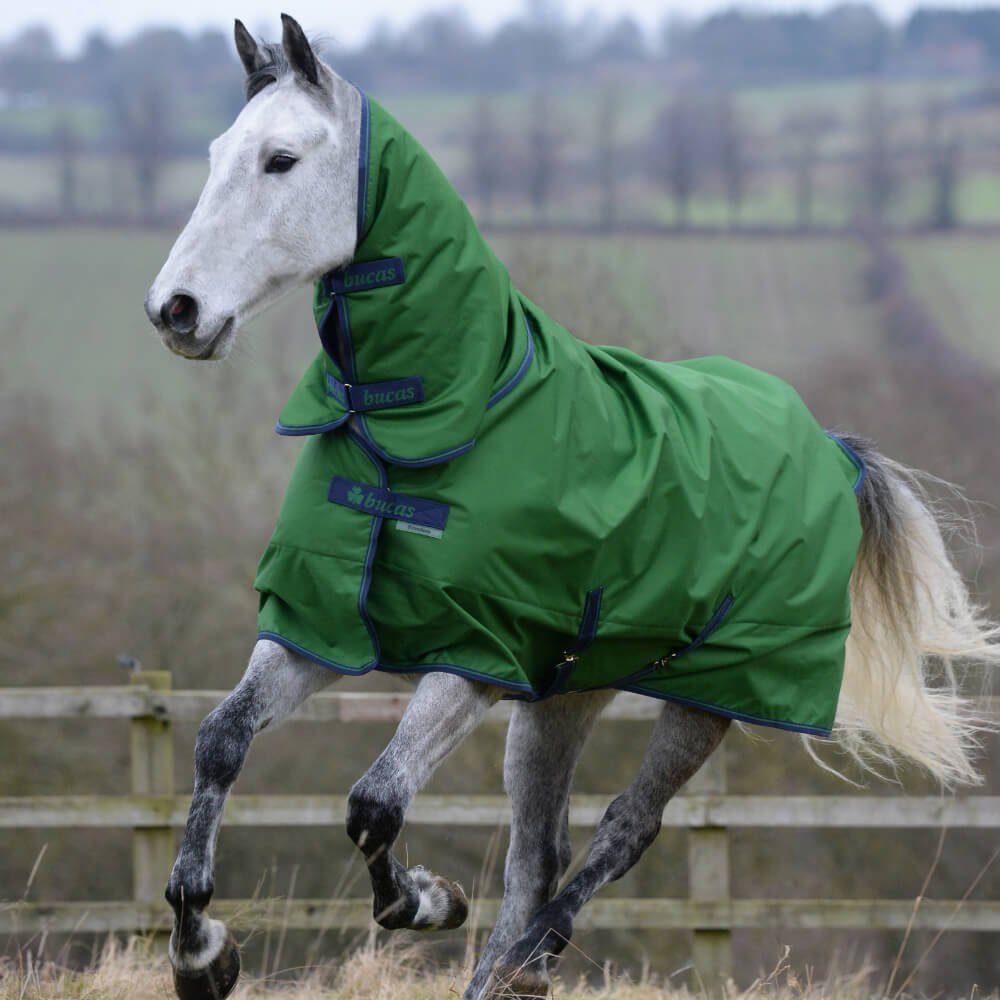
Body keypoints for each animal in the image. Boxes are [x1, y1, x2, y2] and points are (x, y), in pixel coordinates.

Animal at [144, 15, 998, 1000]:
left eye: (280, 159)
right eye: (216, 154)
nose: (175, 311)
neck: (430, 414)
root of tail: (830, 448)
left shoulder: (473, 656)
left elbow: (374, 802)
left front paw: (424, 901)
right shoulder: (317, 628)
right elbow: (220, 741)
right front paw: (203, 953)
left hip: (712, 693)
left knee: (619, 832)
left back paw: (529, 952)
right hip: (563, 697)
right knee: (537, 855)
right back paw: (511, 966)